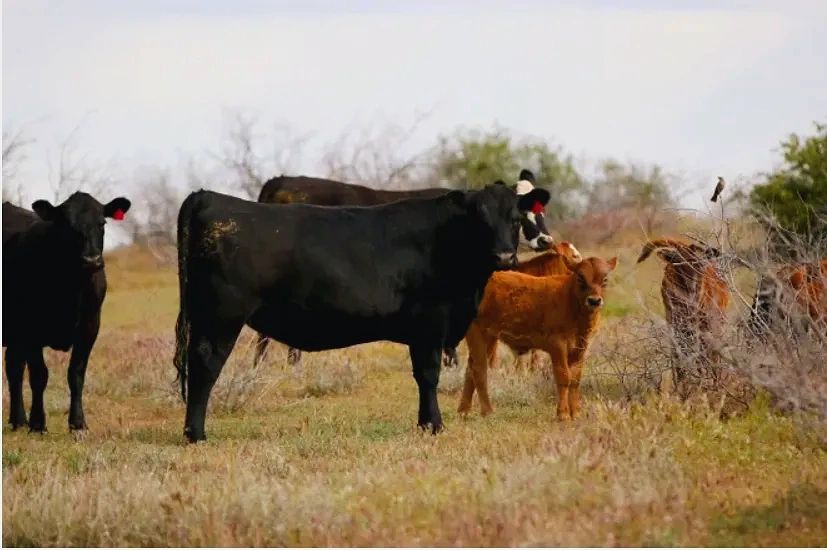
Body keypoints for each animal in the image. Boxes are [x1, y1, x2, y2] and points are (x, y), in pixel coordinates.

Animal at [2, 193, 131, 433]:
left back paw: (18, 420)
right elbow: (39, 375)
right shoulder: (30, 330)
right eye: (68, 226)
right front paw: (38, 423)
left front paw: (78, 423)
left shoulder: (89, 327)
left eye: (102, 223)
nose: (91, 260)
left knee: (14, 368)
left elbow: (76, 374)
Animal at [173, 183, 523, 442]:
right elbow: (428, 375)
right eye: (481, 219)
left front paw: (425, 423)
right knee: (205, 364)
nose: (505, 256)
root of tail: (208, 196)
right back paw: (196, 434)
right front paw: (433, 425)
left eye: (516, 219)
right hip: (221, 318)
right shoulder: (430, 324)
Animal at [458, 256, 618, 419]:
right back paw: (487, 411)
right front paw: (563, 414)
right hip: (477, 334)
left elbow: (575, 379)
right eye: (580, 277)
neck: (571, 300)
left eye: (605, 278)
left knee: (470, 368)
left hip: (489, 337)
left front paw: (576, 414)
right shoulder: (557, 345)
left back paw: (464, 410)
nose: (594, 300)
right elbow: (563, 377)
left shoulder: (581, 348)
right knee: (479, 369)